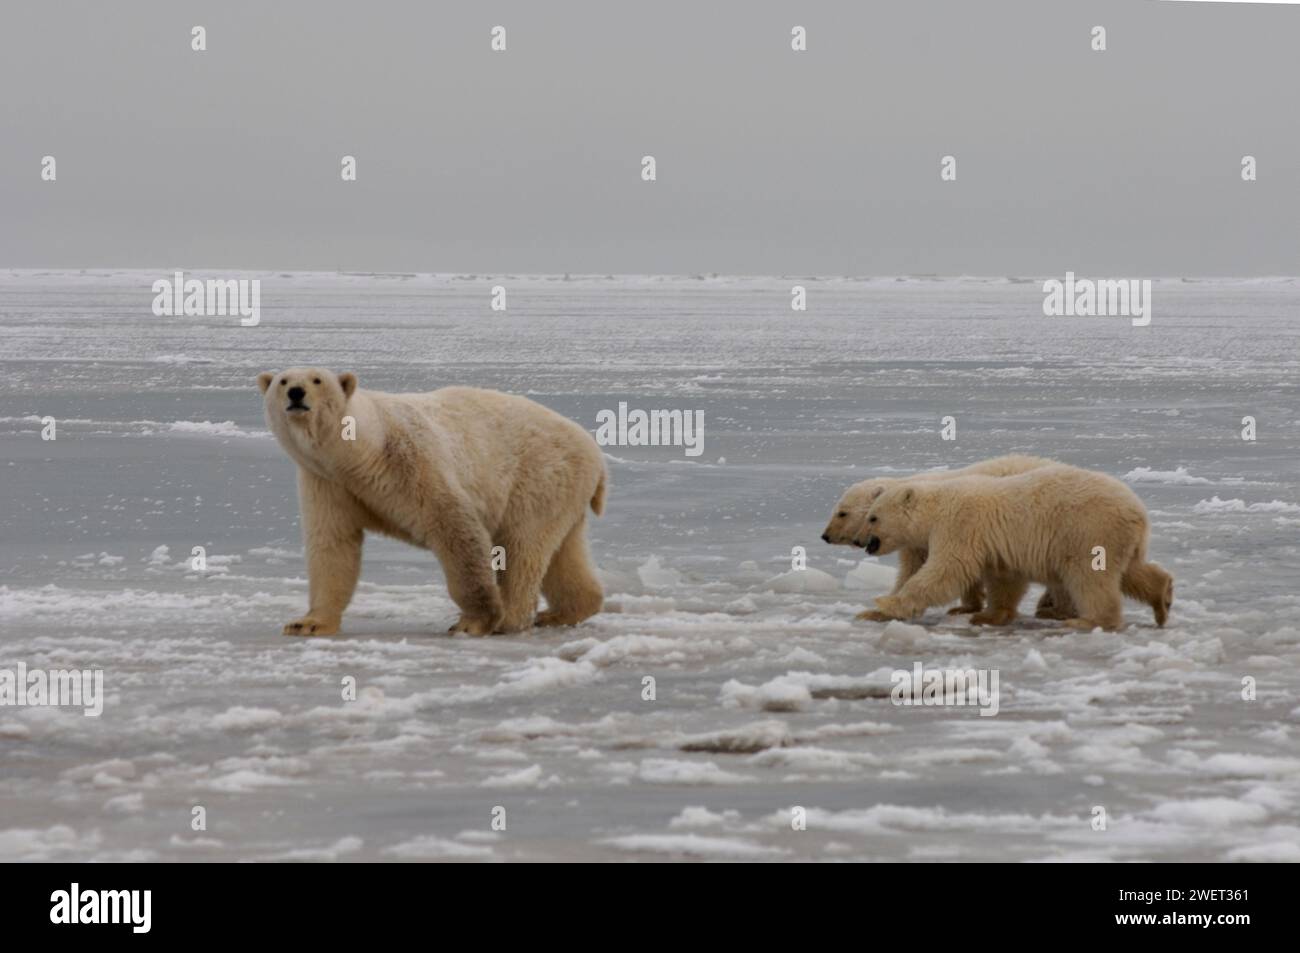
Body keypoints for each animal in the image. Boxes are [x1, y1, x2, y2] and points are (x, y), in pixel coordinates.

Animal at [258, 367, 607, 636]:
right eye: (283, 381)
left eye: (317, 380)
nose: (296, 393)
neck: (360, 453)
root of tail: (594, 451)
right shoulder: (327, 481)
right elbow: (332, 545)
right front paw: (307, 623)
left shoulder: (409, 461)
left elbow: (453, 527)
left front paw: (472, 622)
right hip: (562, 493)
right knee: (563, 552)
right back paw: (561, 612)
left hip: (539, 478)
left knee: (522, 546)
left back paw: (510, 618)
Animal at [820, 454, 1066, 617]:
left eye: (842, 513)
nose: (825, 536)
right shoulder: (919, 541)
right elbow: (916, 568)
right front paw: (966, 605)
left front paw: (880, 607)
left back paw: (1048, 602)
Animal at [858, 465, 1174, 631]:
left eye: (873, 517)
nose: (865, 544)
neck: (938, 506)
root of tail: (1137, 510)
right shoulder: (997, 547)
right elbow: (1005, 580)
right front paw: (988, 615)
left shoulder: (960, 526)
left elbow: (945, 571)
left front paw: (883, 604)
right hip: (1118, 538)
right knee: (1132, 571)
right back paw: (1163, 599)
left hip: (1088, 531)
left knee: (1090, 578)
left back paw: (1087, 620)